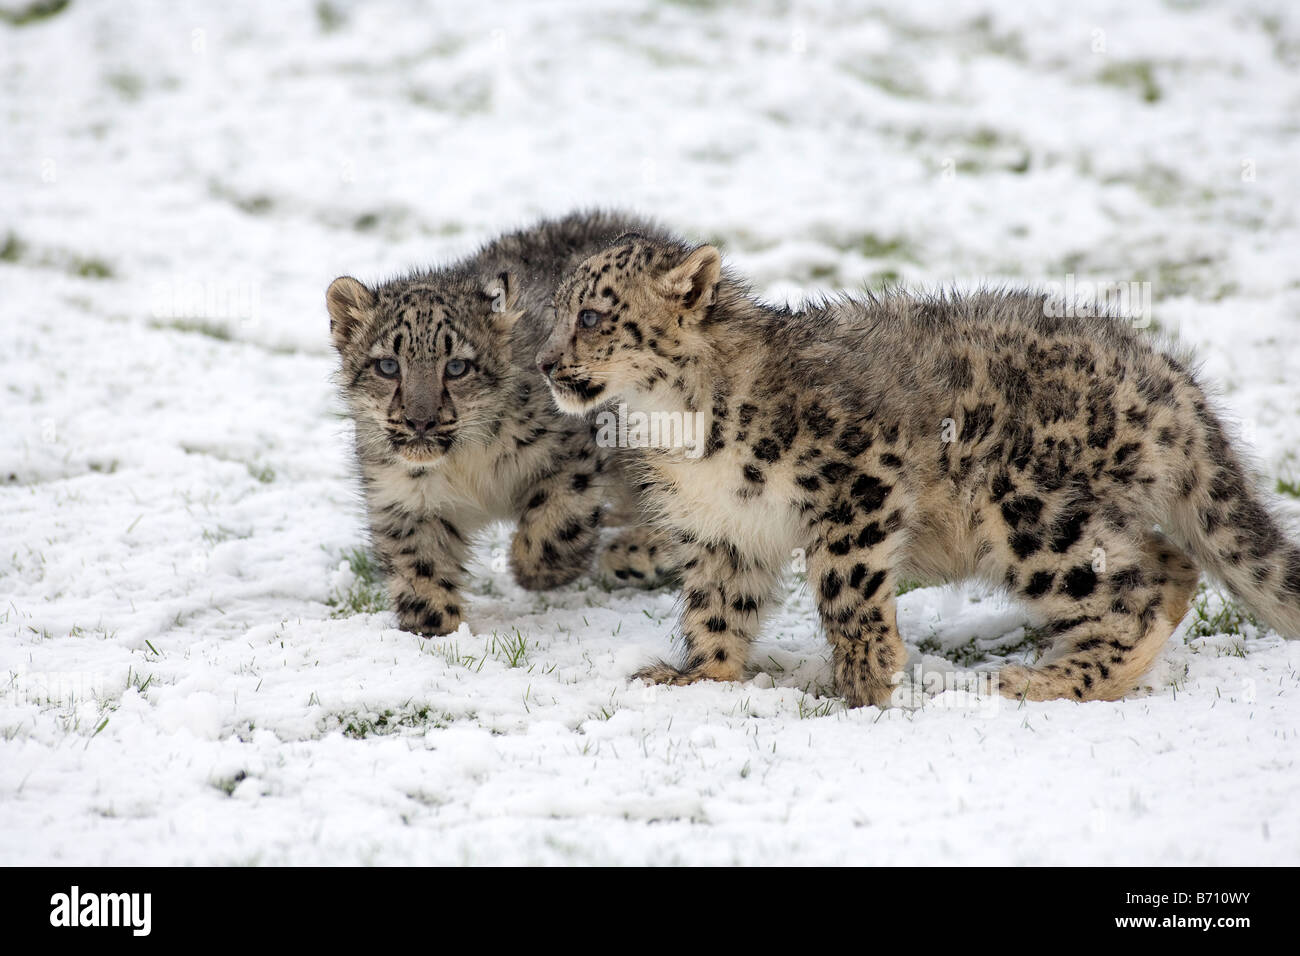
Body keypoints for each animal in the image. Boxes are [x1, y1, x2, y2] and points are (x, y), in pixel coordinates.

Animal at [326, 212, 677, 638]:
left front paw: (531, 570)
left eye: (457, 366)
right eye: (388, 365)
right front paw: (434, 625)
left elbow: (558, 520)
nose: (420, 420)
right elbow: (419, 562)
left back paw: (633, 555)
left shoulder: (572, 452)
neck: (465, 464)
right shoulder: (401, 496)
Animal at [536, 233, 1300, 706]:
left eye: (593, 314)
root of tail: (1168, 376)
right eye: (554, 312)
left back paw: (1039, 682)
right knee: (1172, 564)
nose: (544, 362)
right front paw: (699, 678)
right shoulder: (725, 529)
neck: (672, 423)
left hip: (1030, 510)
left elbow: (845, 589)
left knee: (1130, 598)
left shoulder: (855, 483)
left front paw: (865, 683)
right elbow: (717, 608)